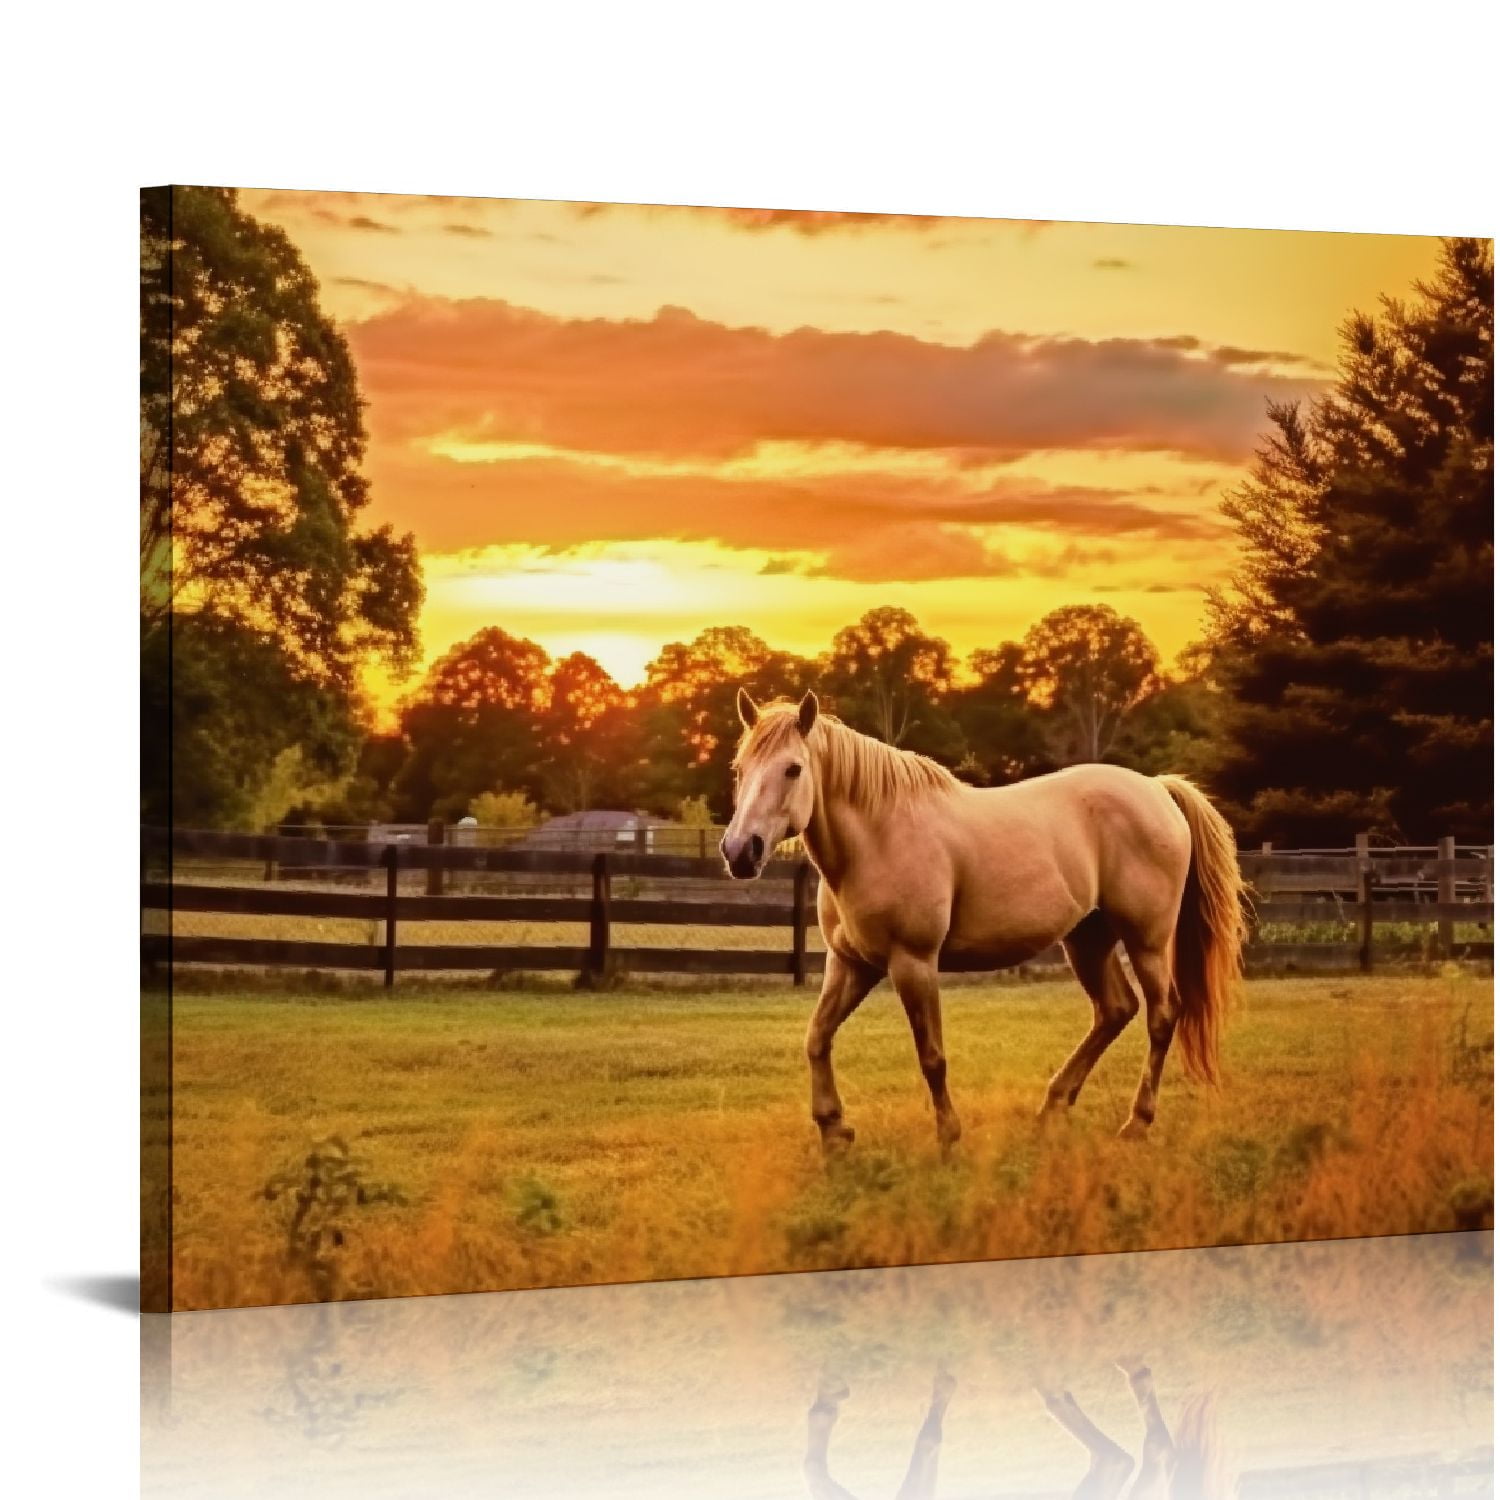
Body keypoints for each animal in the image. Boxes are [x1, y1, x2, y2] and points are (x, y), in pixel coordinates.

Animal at [720, 690, 1247, 1151]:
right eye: (740, 769)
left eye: (792, 769)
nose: (740, 851)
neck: (878, 836)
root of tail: (1156, 788)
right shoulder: (852, 964)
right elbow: (817, 1038)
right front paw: (834, 1131)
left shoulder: (913, 963)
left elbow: (932, 1056)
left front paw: (948, 1135)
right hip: (1088, 940)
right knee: (1116, 1009)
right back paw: (1053, 1108)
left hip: (1146, 940)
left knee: (1162, 1016)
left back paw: (1136, 1123)